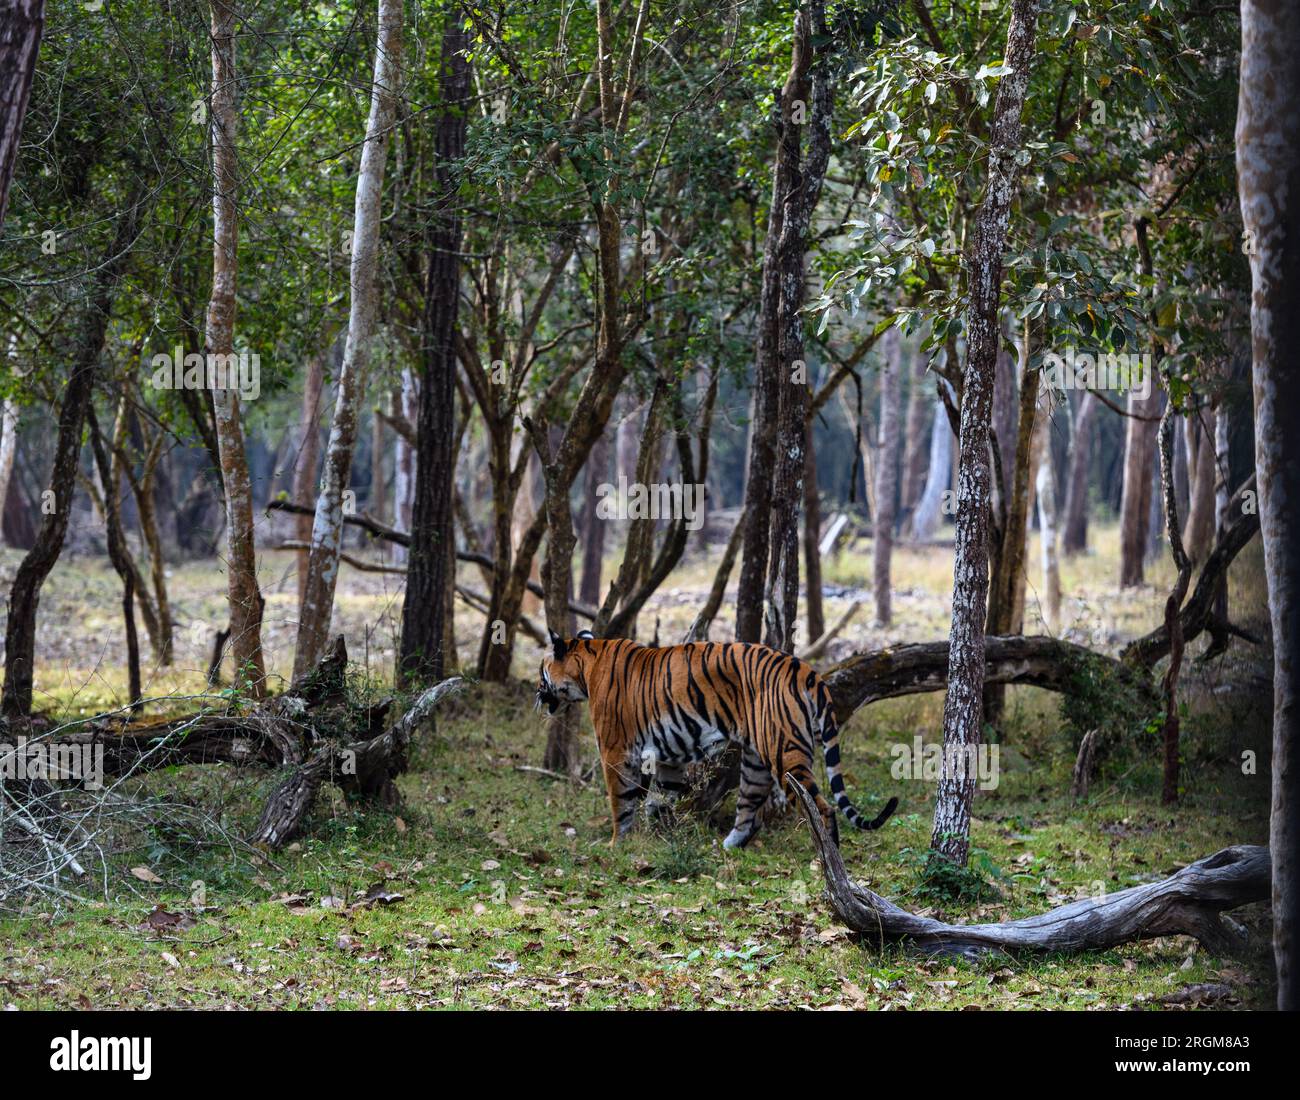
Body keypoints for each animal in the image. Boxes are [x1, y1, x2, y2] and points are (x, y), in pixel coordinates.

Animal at [536, 629, 898, 849]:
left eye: (541, 670)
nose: (537, 695)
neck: (588, 662)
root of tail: (804, 668)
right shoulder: (668, 759)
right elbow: (659, 800)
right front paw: (660, 836)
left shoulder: (615, 750)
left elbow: (621, 801)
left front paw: (617, 844)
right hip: (755, 761)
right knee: (750, 810)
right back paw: (728, 845)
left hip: (785, 752)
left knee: (823, 808)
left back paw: (826, 856)